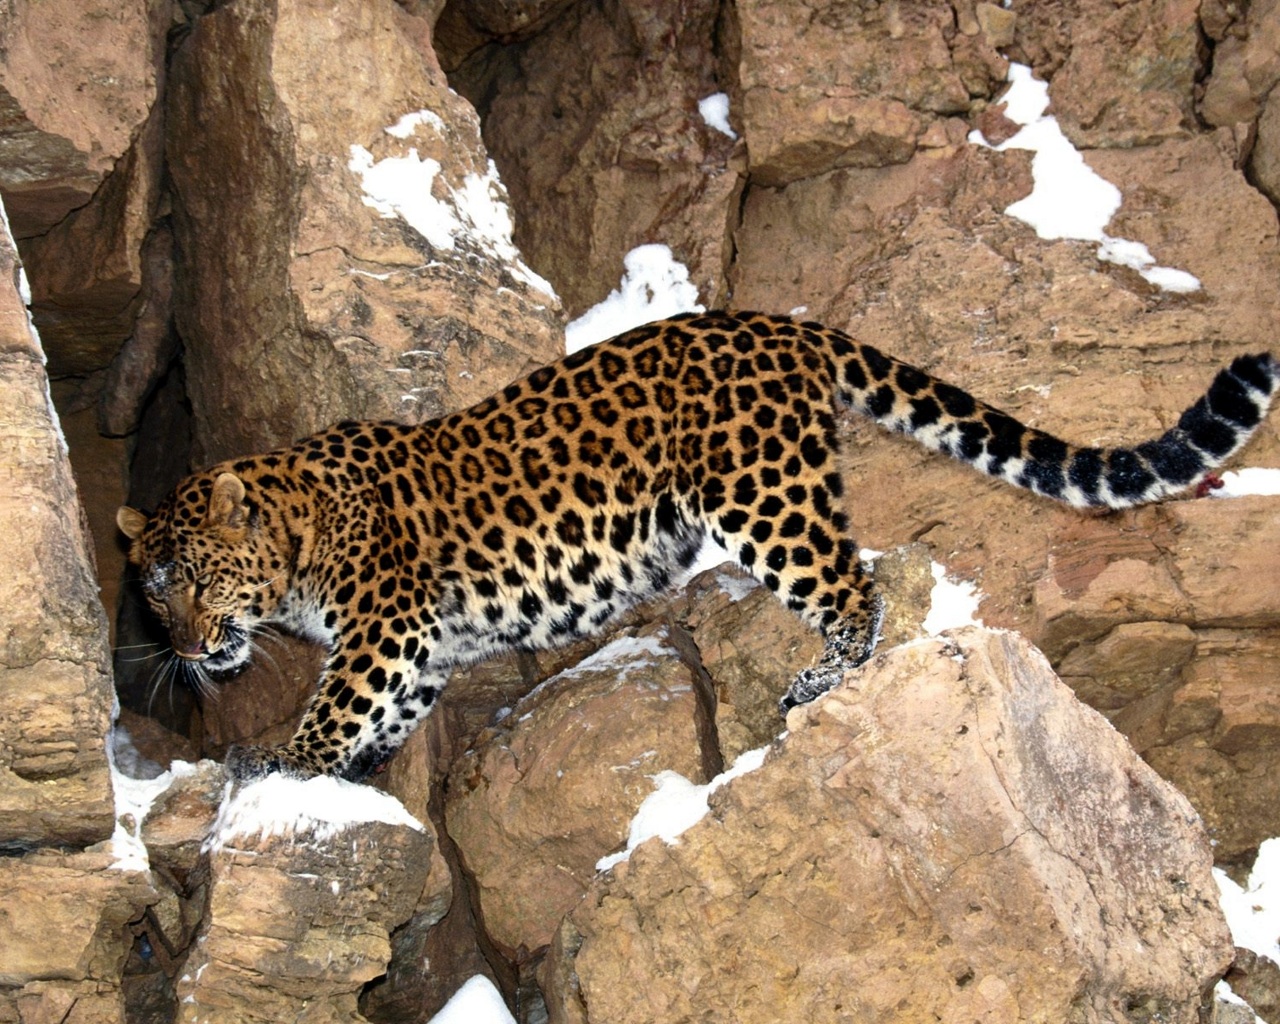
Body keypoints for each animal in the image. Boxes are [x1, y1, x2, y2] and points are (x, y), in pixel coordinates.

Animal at [117, 311, 1279, 782]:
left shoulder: (386, 621)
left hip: (759, 493)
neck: (298, 532)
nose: (186, 649)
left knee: (854, 583)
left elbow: (337, 703)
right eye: (154, 596)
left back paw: (821, 679)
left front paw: (282, 760)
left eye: (196, 579)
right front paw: (348, 773)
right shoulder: (427, 645)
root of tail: (781, 324)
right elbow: (386, 713)